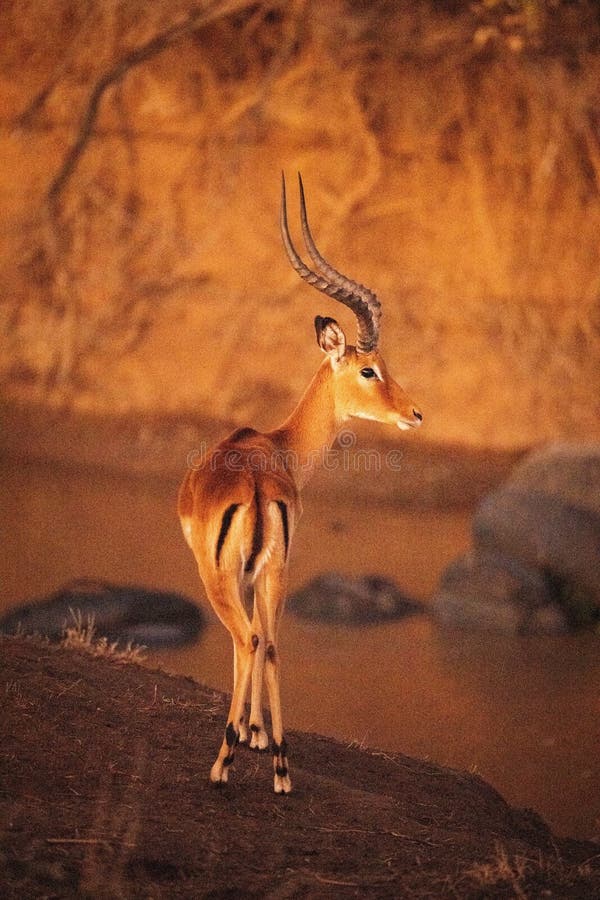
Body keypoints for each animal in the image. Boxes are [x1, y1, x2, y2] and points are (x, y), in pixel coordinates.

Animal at [178, 174, 422, 794]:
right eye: (369, 369)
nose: (415, 414)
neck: (276, 445)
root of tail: (256, 485)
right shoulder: (264, 572)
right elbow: (268, 644)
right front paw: (261, 738)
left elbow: (245, 645)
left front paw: (246, 736)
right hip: (275, 571)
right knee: (269, 642)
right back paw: (283, 768)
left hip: (221, 576)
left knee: (247, 638)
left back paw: (223, 763)